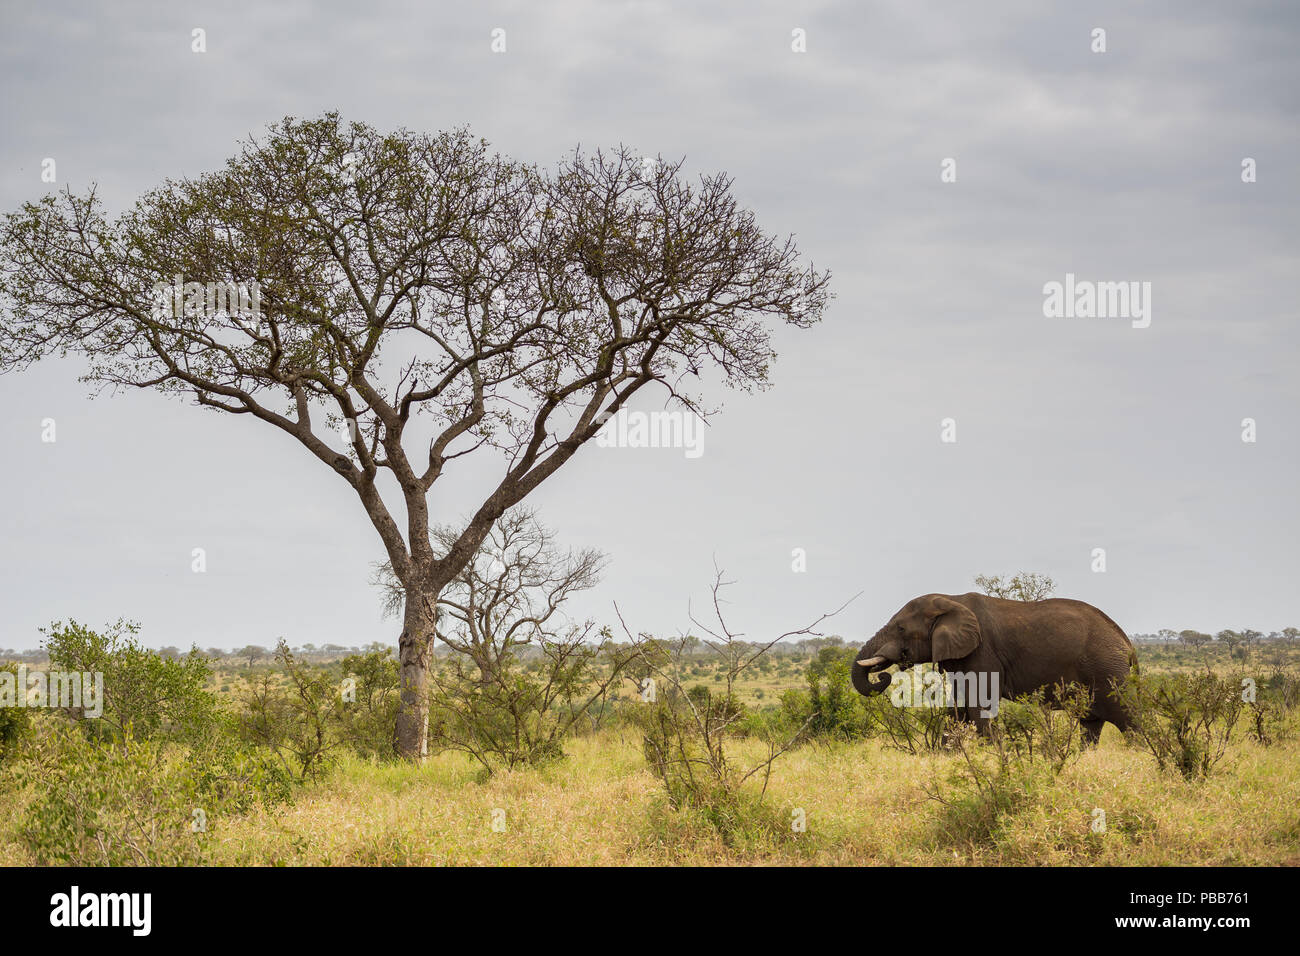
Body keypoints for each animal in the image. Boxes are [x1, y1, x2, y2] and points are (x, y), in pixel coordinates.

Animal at [851, 592, 1138, 743]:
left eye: (900, 628)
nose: (885, 675)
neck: (951, 599)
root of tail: (1126, 642)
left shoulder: (982, 652)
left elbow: (980, 706)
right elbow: (958, 708)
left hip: (1108, 671)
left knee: (1129, 719)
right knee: (1091, 724)